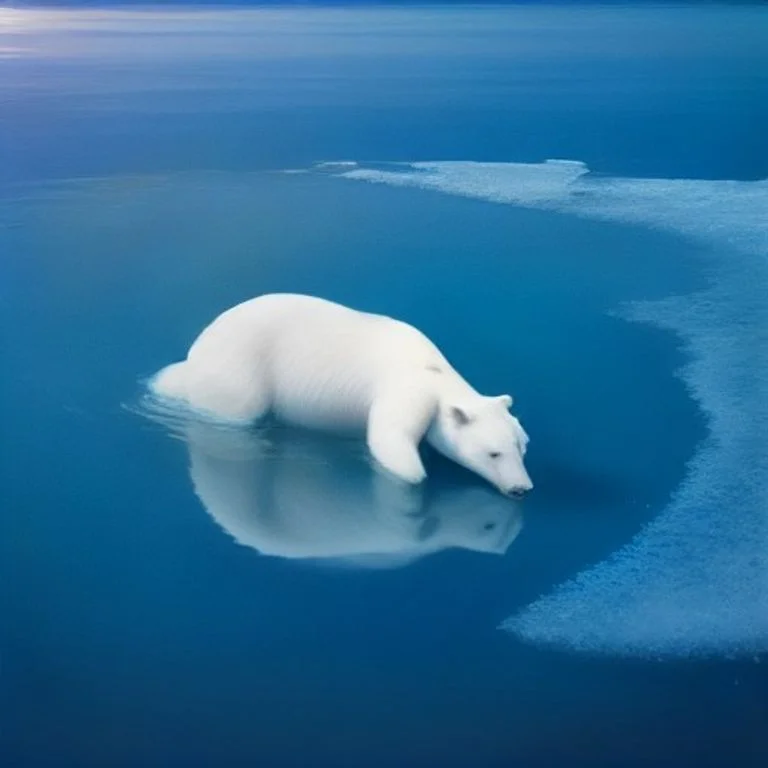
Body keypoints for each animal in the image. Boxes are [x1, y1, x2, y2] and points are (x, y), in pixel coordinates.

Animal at [150, 293, 533, 496]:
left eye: (522, 447)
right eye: (493, 453)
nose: (521, 488)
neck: (434, 371)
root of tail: (196, 353)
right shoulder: (405, 390)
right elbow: (389, 439)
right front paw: (416, 475)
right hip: (241, 374)